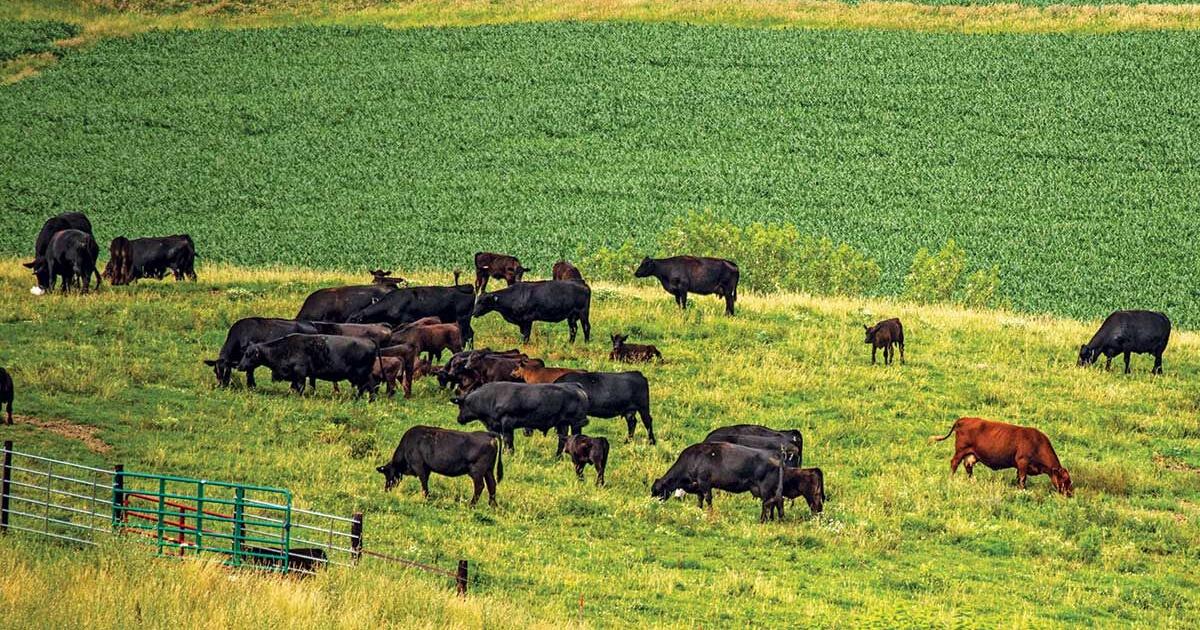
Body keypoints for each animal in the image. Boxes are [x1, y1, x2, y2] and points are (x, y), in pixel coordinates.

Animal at [236, 334, 380, 400]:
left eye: (248, 354)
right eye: (244, 353)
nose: (239, 366)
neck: (284, 349)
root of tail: (369, 341)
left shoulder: (300, 373)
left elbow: (300, 387)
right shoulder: (299, 376)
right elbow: (295, 387)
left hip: (362, 375)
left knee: (368, 386)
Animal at [346, 283, 475, 345]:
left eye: (353, 320)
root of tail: (465, 286)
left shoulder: (408, 322)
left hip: (462, 318)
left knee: (466, 335)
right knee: (471, 333)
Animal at [453, 381, 589, 456]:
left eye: (460, 405)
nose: (459, 418)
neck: (489, 398)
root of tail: (575, 385)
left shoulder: (507, 422)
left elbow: (508, 440)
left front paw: (509, 453)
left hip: (576, 423)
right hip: (562, 424)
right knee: (562, 440)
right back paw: (557, 456)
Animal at [651, 442, 785, 523]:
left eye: (656, 491)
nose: (651, 504)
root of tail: (775, 454)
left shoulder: (704, 482)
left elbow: (708, 499)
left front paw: (710, 513)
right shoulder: (698, 486)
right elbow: (700, 500)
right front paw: (698, 510)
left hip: (765, 488)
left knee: (767, 503)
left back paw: (763, 520)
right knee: (777, 502)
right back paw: (777, 519)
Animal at [929, 417, 1072, 497]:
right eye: (1064, 480)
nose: (1069, 494)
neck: (1037, 443)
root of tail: (964, 419)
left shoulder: (1019, 466)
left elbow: (1018, 478)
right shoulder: (1022, 462)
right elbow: (1022, 479)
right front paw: (1022, 491)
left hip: (971, 454)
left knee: (968, 466)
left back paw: (972, 481)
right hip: (960, 450)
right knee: (954, 462)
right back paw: (951, 479)